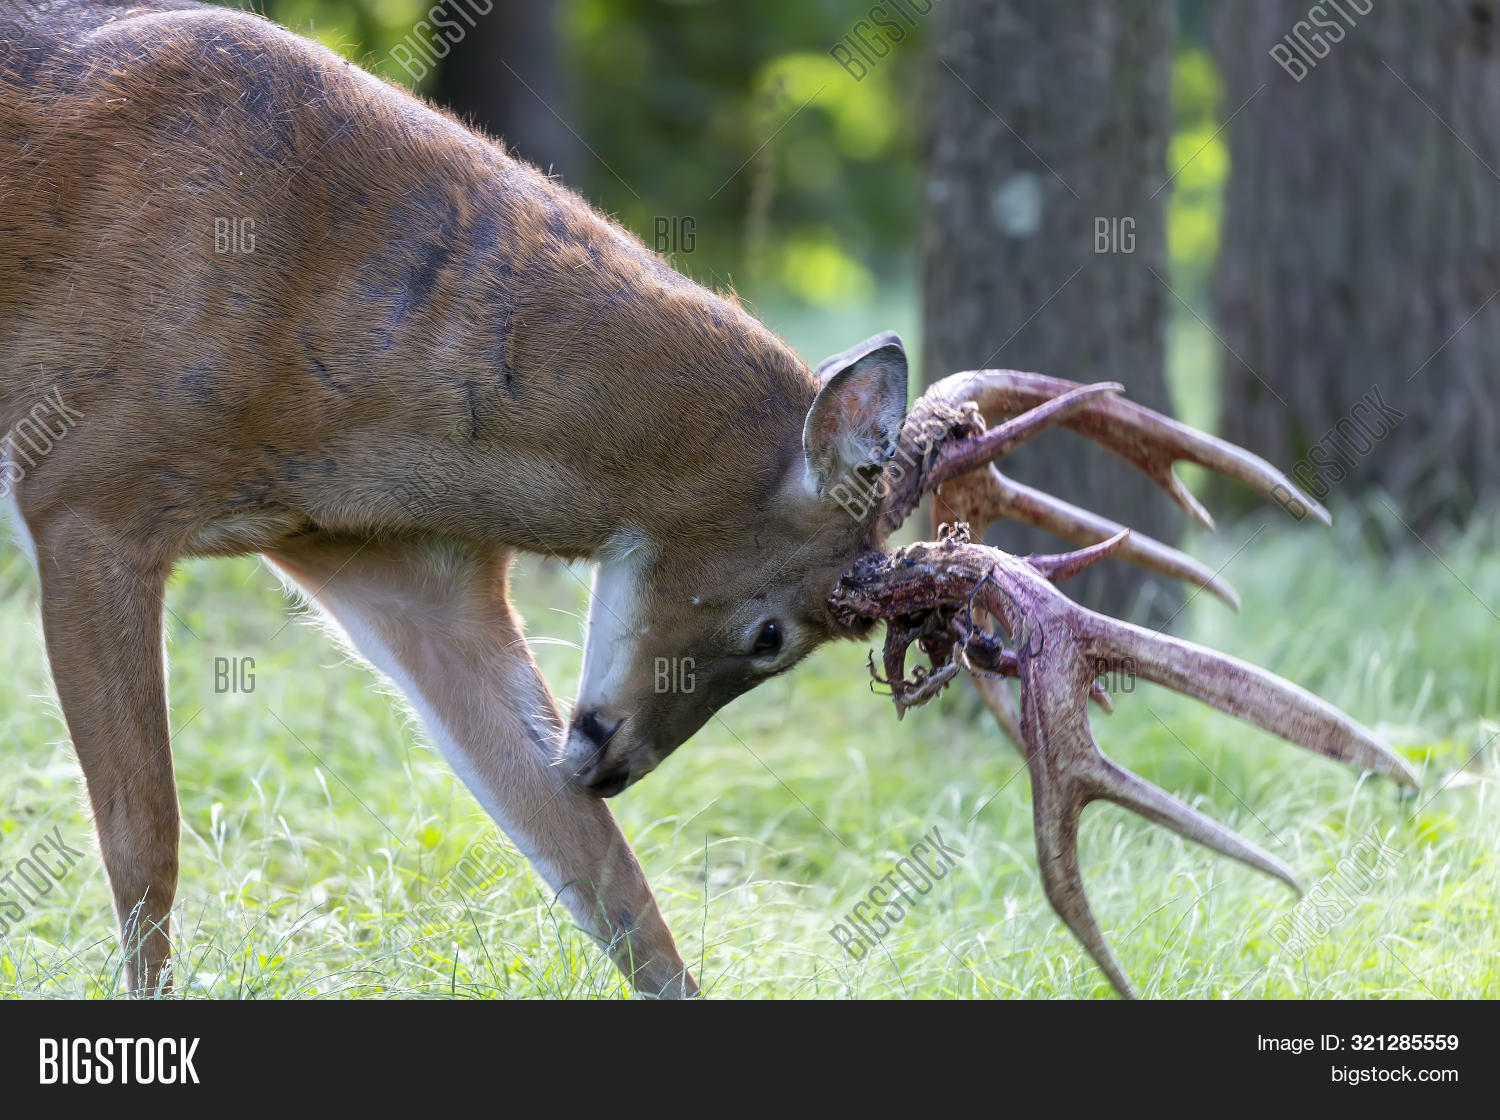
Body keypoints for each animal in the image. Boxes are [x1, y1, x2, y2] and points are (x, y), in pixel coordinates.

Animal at [0, 1, 1414, 1000]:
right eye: (773, 632)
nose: (616, 759)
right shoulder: (89, 491)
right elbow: (144, 846)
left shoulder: (399, 561)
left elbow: (601, 879)